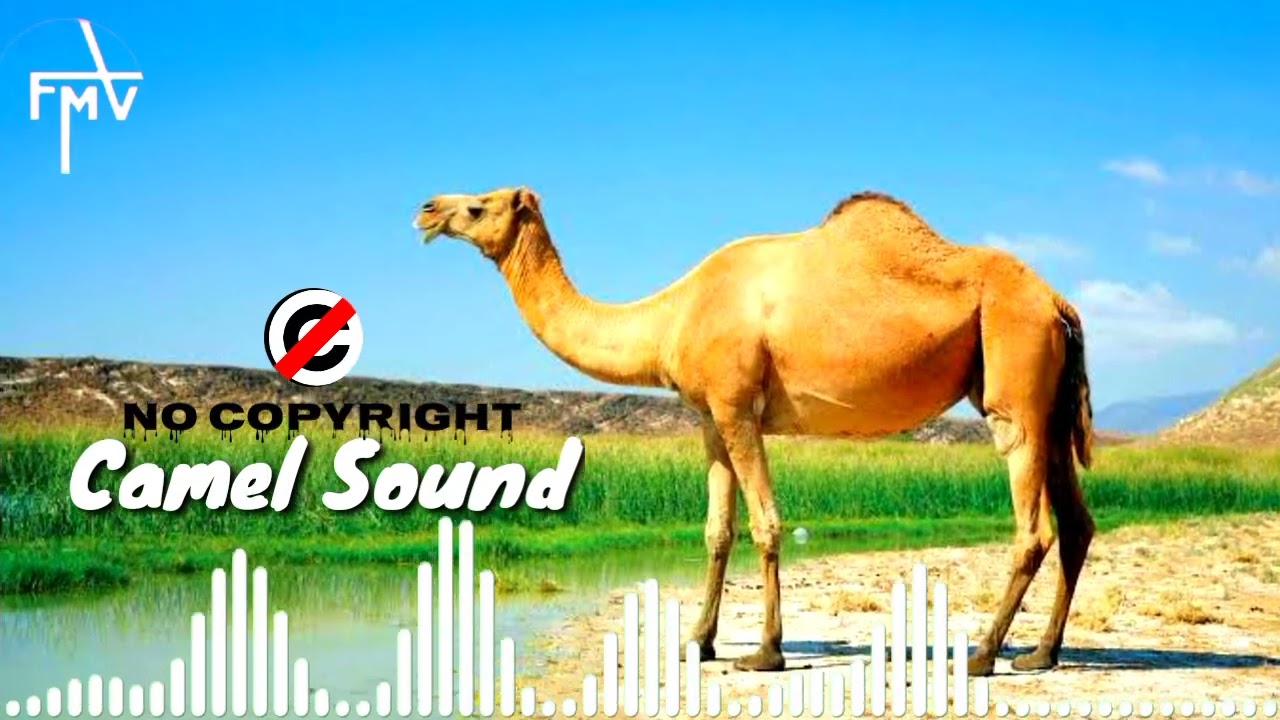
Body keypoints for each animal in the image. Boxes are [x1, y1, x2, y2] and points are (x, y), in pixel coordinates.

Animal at [412, 186, 1096, 676]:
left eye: (477, 205)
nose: (426, 210)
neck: (672, 315)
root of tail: (1059, 302)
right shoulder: (710, 417)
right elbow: (718, 529)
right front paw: (697, 642)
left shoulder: (738, 405)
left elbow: (767, 523)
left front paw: (765, 652)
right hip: (1050, 399)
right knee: (1076, 522)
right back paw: (1042, 653)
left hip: (1015, 373)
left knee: (1033, 525)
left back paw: (982, 656)